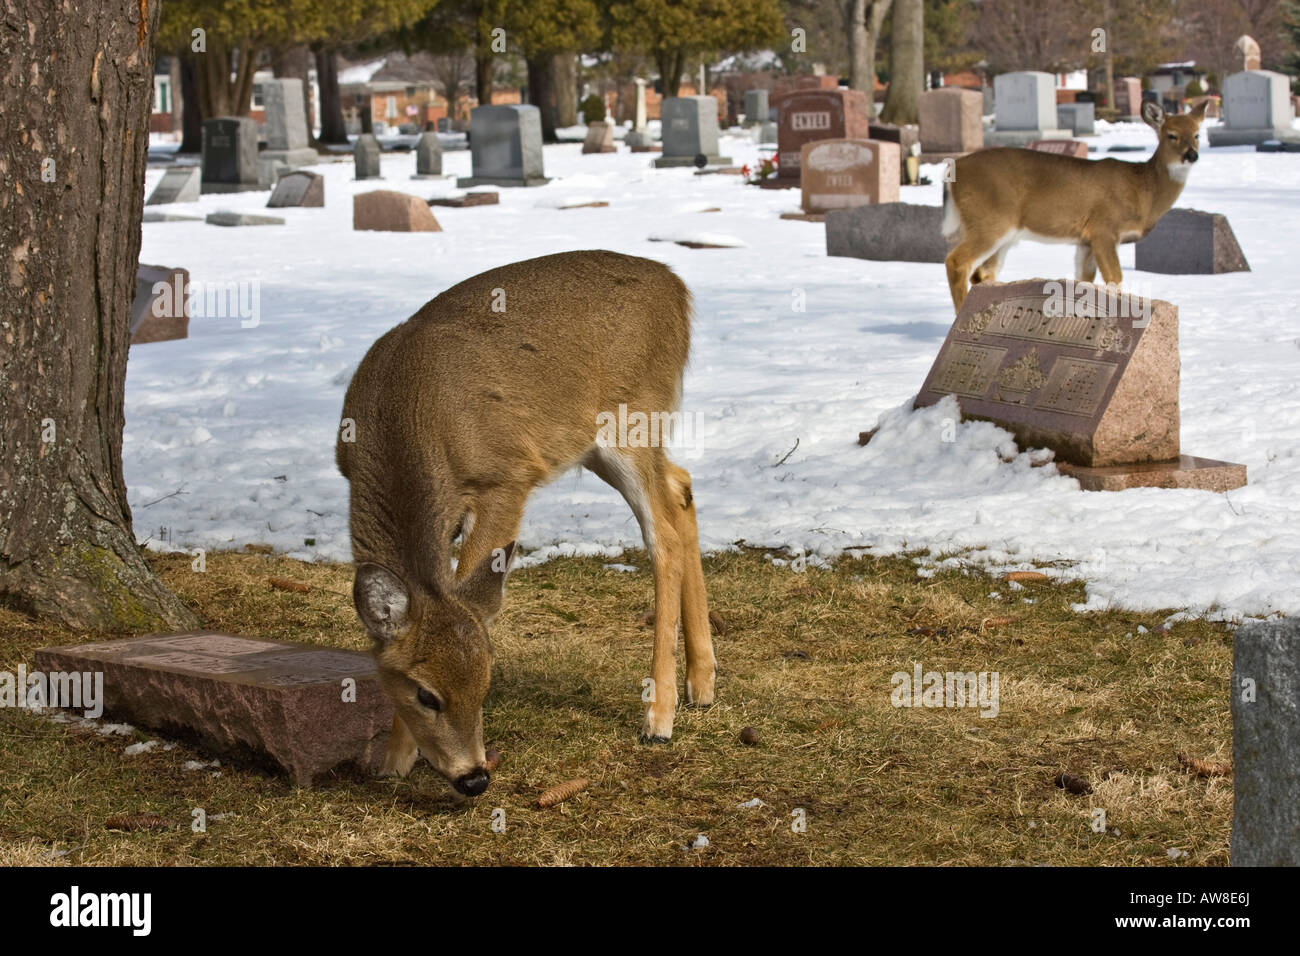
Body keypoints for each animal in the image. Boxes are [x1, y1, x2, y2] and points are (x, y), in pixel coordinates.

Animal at [335, 250, 716, 798]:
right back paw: (701, 683)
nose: (474, 778)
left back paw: (658, 717)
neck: (403, 412)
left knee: (661, 531)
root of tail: (677, 287)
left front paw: (396, 758)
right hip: (598, 441)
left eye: (485, 684)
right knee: (681, 487)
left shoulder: (505, 478)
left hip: (633, 416)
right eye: (426, 694)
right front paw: (392, 761)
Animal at [942, 99, 1208, 312]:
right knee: (957, 262)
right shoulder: (1104, 229)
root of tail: (953, 171)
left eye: (1197, 134)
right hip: (990, 220)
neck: (1142, 190)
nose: (1192, 155)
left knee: (983, 274)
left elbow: (1084, 281)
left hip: (1004, 235)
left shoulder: (1085, 241)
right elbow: (1115, 279)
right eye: (1171, 134)